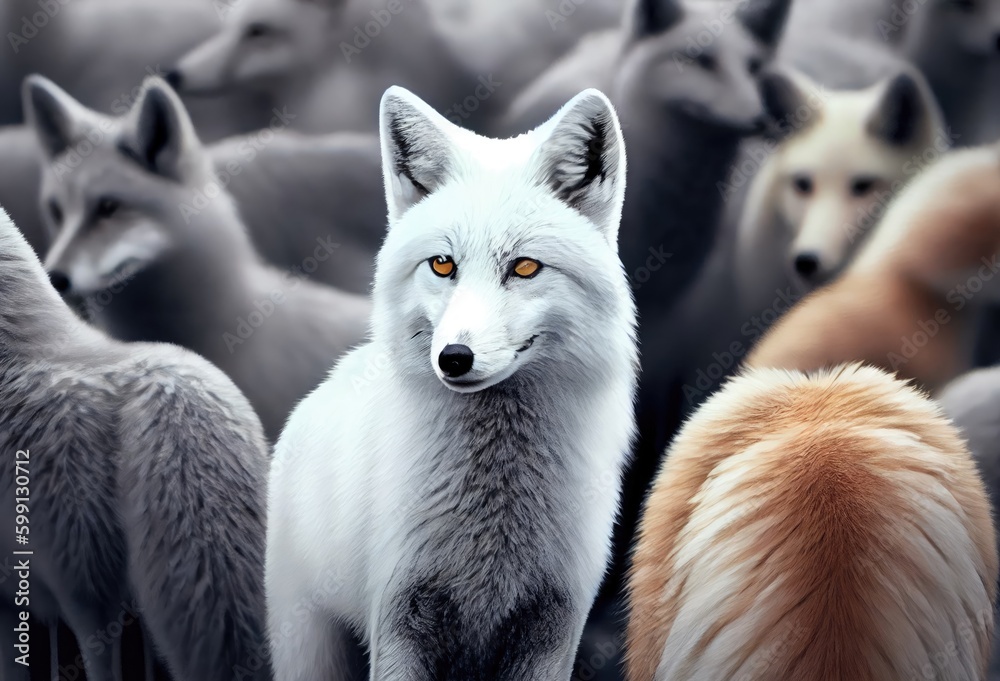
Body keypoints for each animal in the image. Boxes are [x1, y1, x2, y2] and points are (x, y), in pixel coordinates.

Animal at [265, 86, 638, 680]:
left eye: (525, 267)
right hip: (310, 649)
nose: (454, 358)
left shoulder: (552, 628)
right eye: (442, 264)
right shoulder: (400, 619)